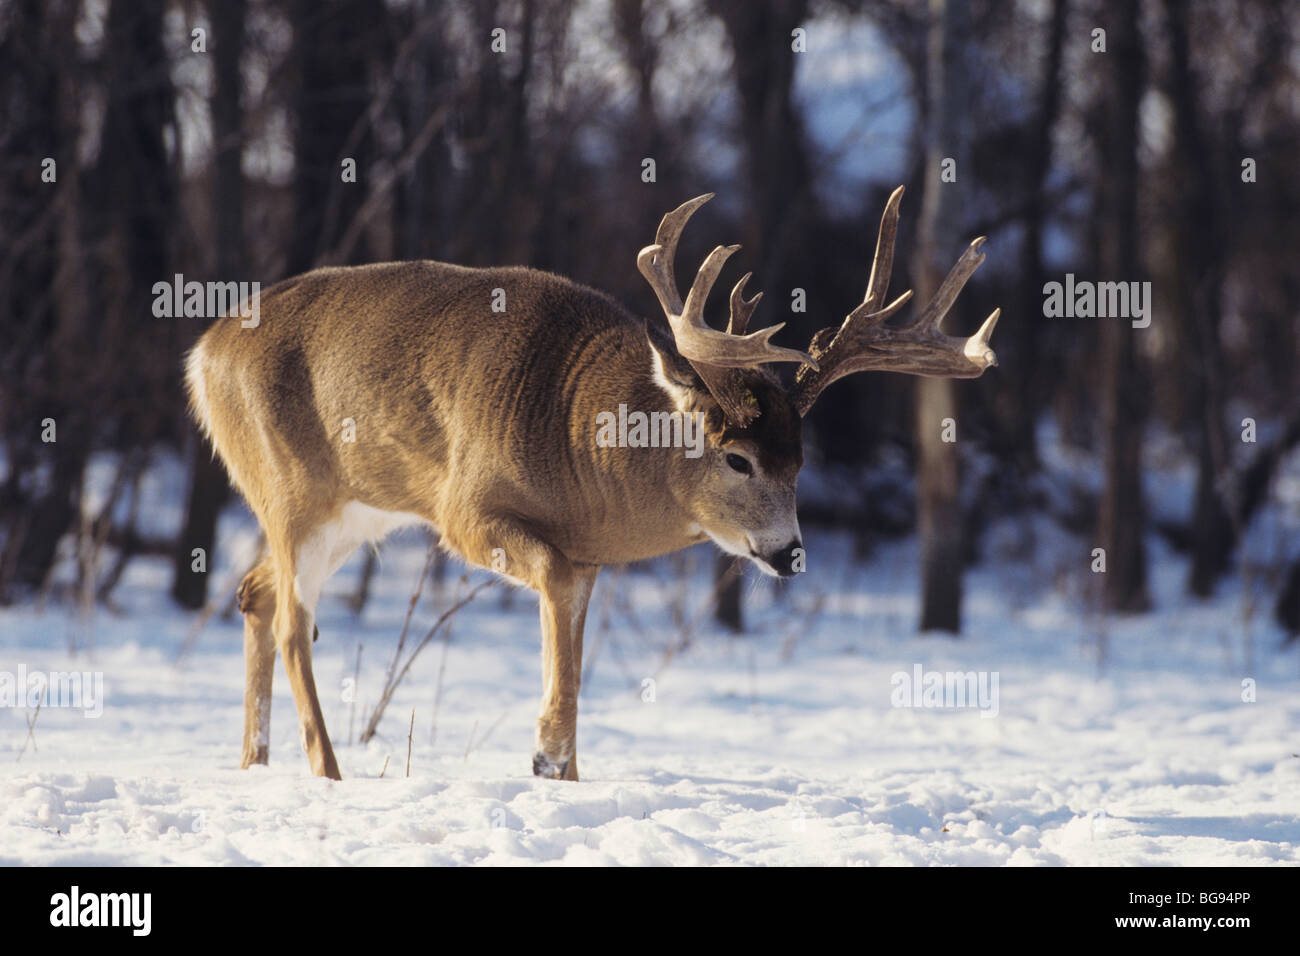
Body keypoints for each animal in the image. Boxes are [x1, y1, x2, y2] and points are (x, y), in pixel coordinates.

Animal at [185, 185, 999, 781]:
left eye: (800, 463)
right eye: (736, 457)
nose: (788, 552)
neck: (578, 436)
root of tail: (203, 353)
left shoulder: (585, 557)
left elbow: (573, 648)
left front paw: (563, 771)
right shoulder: (464, 511)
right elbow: (550, 601)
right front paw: (545, 753)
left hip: (352, 512)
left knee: (254, 593)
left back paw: (254, 765)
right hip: (291, 489)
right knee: (293, 623)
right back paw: (327, 774)